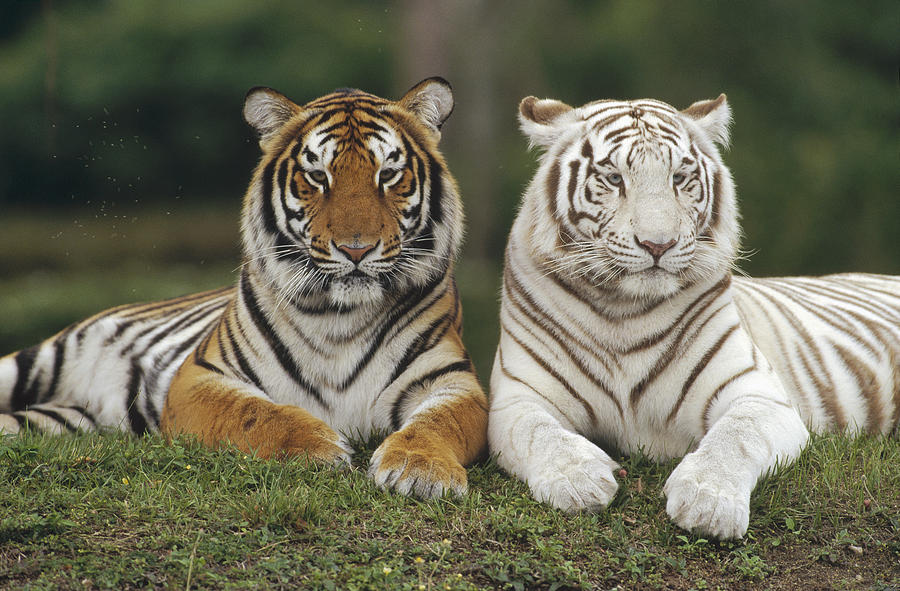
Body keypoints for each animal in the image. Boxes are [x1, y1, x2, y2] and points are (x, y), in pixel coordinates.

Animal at [0, 77, 488, 500]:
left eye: (388, 174)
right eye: (318, 176)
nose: (356, 249)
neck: (341, 316)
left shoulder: (451, 381)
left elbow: (439, 423)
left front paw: (420, 469)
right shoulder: (200, 376)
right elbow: (256, 413)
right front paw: (319, 446)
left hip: (61, 421)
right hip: (37, 361)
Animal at [488, 92, 900, 539]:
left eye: (680, 178)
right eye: (614, 178)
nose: (657, 244)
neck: (623, 311)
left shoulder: (758, 393)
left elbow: (737, 435)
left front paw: (708, 501)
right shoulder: (518, 397)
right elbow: (538, 432)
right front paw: (578, 480)